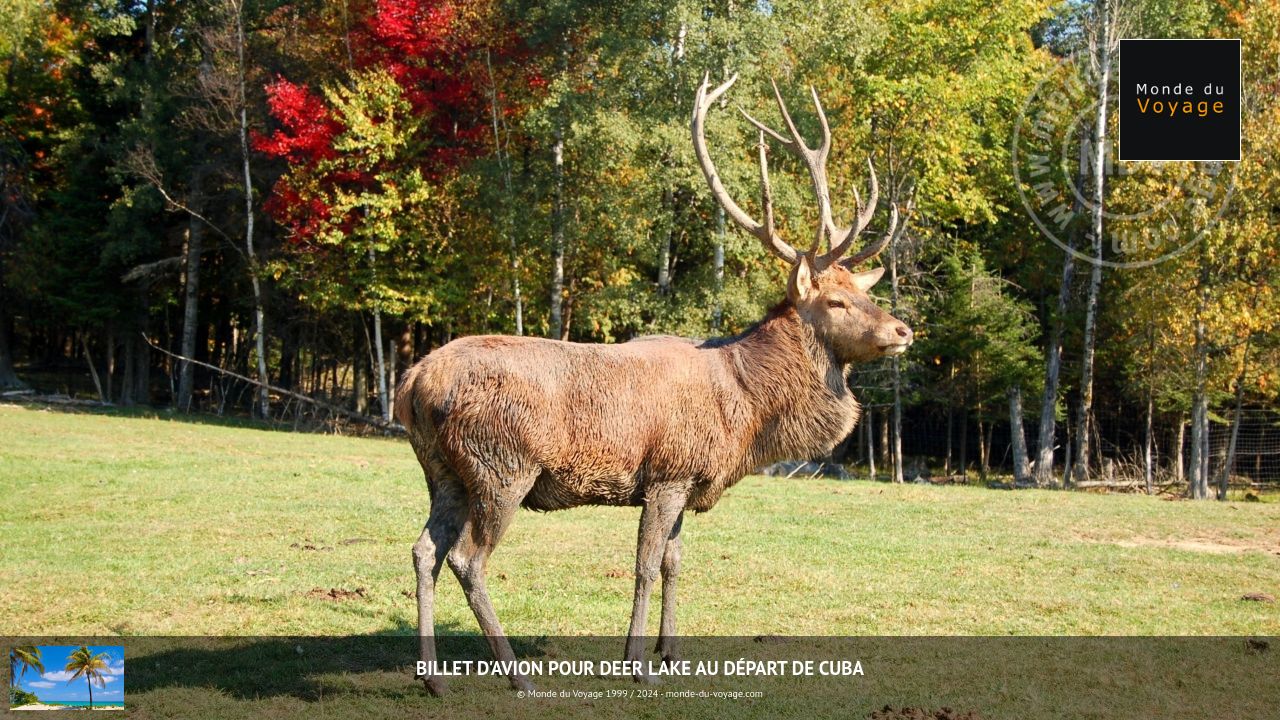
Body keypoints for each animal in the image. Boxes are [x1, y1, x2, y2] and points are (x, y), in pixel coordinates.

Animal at [399, 71, 911, 691]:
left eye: (863, 290)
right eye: (836, 301)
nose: (902, 329)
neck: (745, 408)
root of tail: (412, 383)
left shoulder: (689, 480)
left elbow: (674, 562)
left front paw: (671, 651)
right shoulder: (669, 472)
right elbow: (644, 564)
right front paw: (637, 662)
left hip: (443, 470)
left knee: (424, 547)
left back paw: (432, 675)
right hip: (502, 466)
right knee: (466, 557)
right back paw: (518, 674)